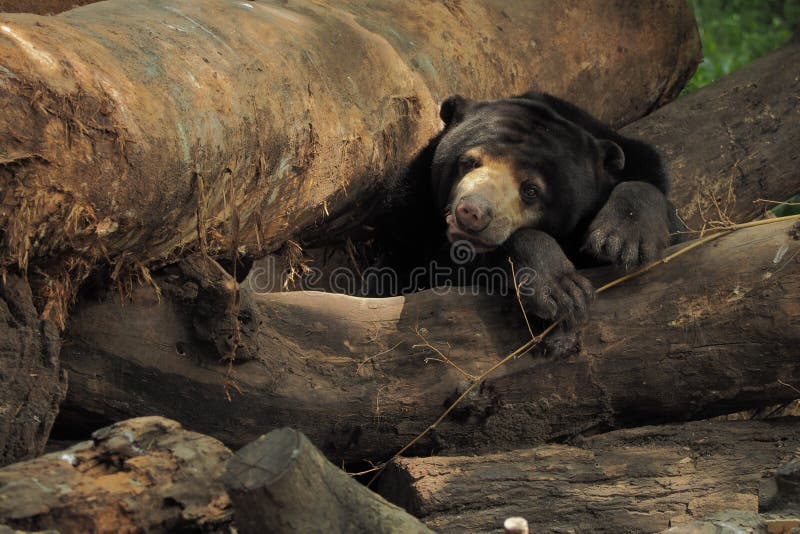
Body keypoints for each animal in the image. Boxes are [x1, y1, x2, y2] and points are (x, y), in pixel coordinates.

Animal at [376, 91, 681, 324]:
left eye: (531, 190)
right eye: (470, 162)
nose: (471, 213)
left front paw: (621, 241)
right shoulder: (410, 218)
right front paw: (562, 290)